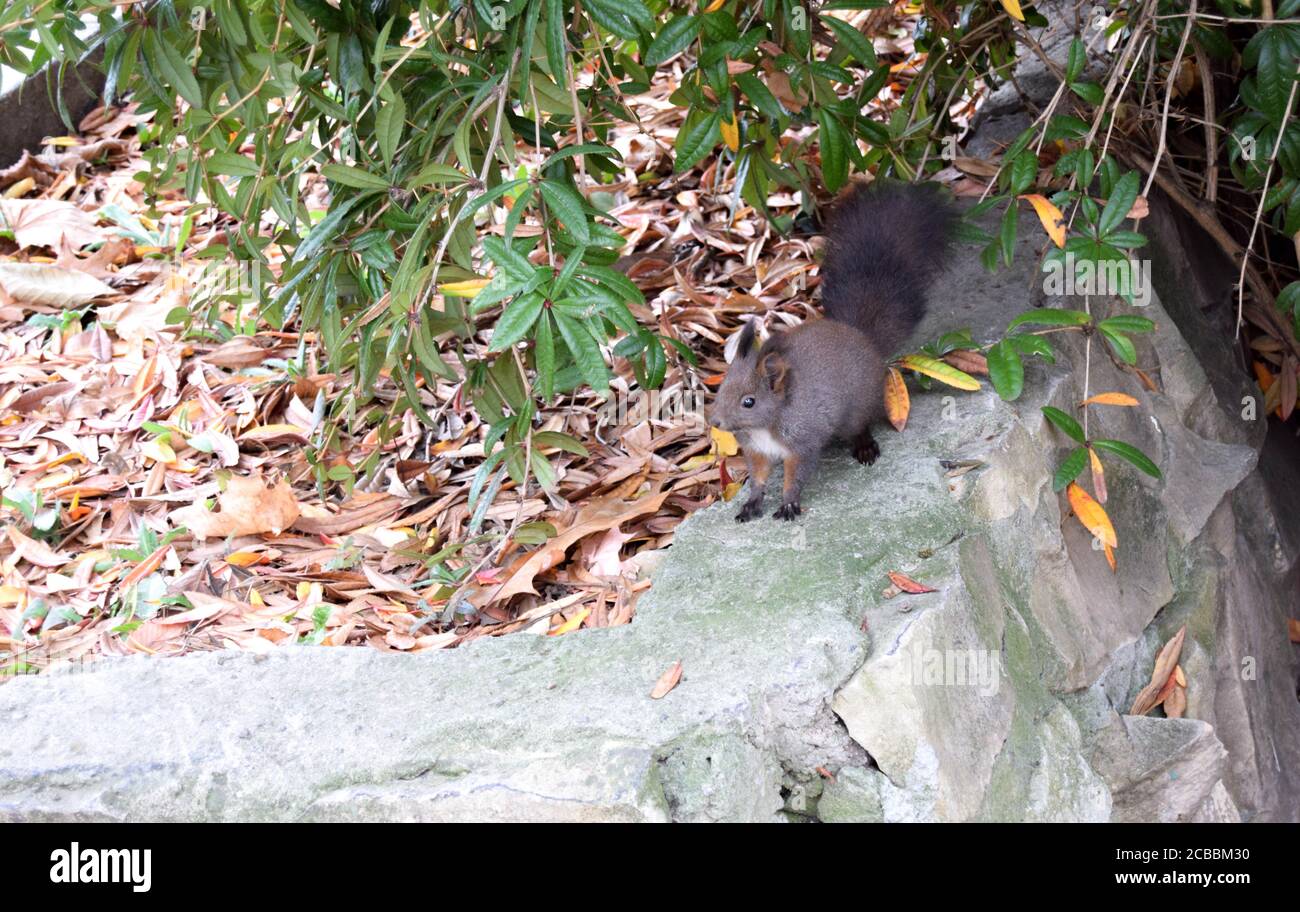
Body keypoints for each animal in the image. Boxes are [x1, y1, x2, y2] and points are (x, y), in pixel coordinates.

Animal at [707, 180, 958, 522]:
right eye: (722, 389)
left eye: (749, 402)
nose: (715, 422)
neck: (764, 426)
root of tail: (862, 338)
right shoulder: (757, 452)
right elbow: (758, 477)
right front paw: (752, 503)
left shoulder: (803, 441)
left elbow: (796, 475)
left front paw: (788, 503)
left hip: (857, 407)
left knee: (860, 425)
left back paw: (864, 446)